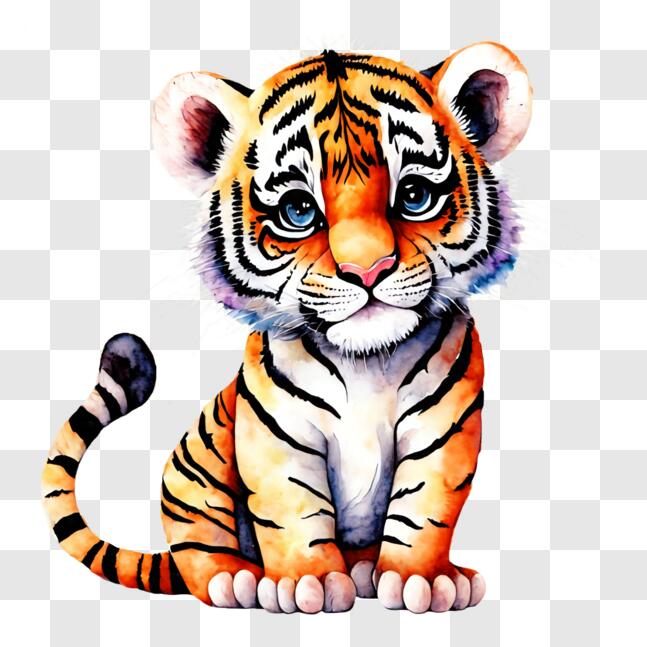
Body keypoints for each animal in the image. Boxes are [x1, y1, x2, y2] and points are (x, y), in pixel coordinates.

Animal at [42, 42, 531, 614]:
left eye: (413, 195)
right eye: (299, 210)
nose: (368, 270)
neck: (367, 362)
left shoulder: (443, 430)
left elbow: (423, 511)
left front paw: (425, 582)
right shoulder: (277, 436)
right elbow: (293, 510)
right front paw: (307, 584)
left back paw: (364, 569)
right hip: (194, 472)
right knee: (197, 551)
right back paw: (236, 578)